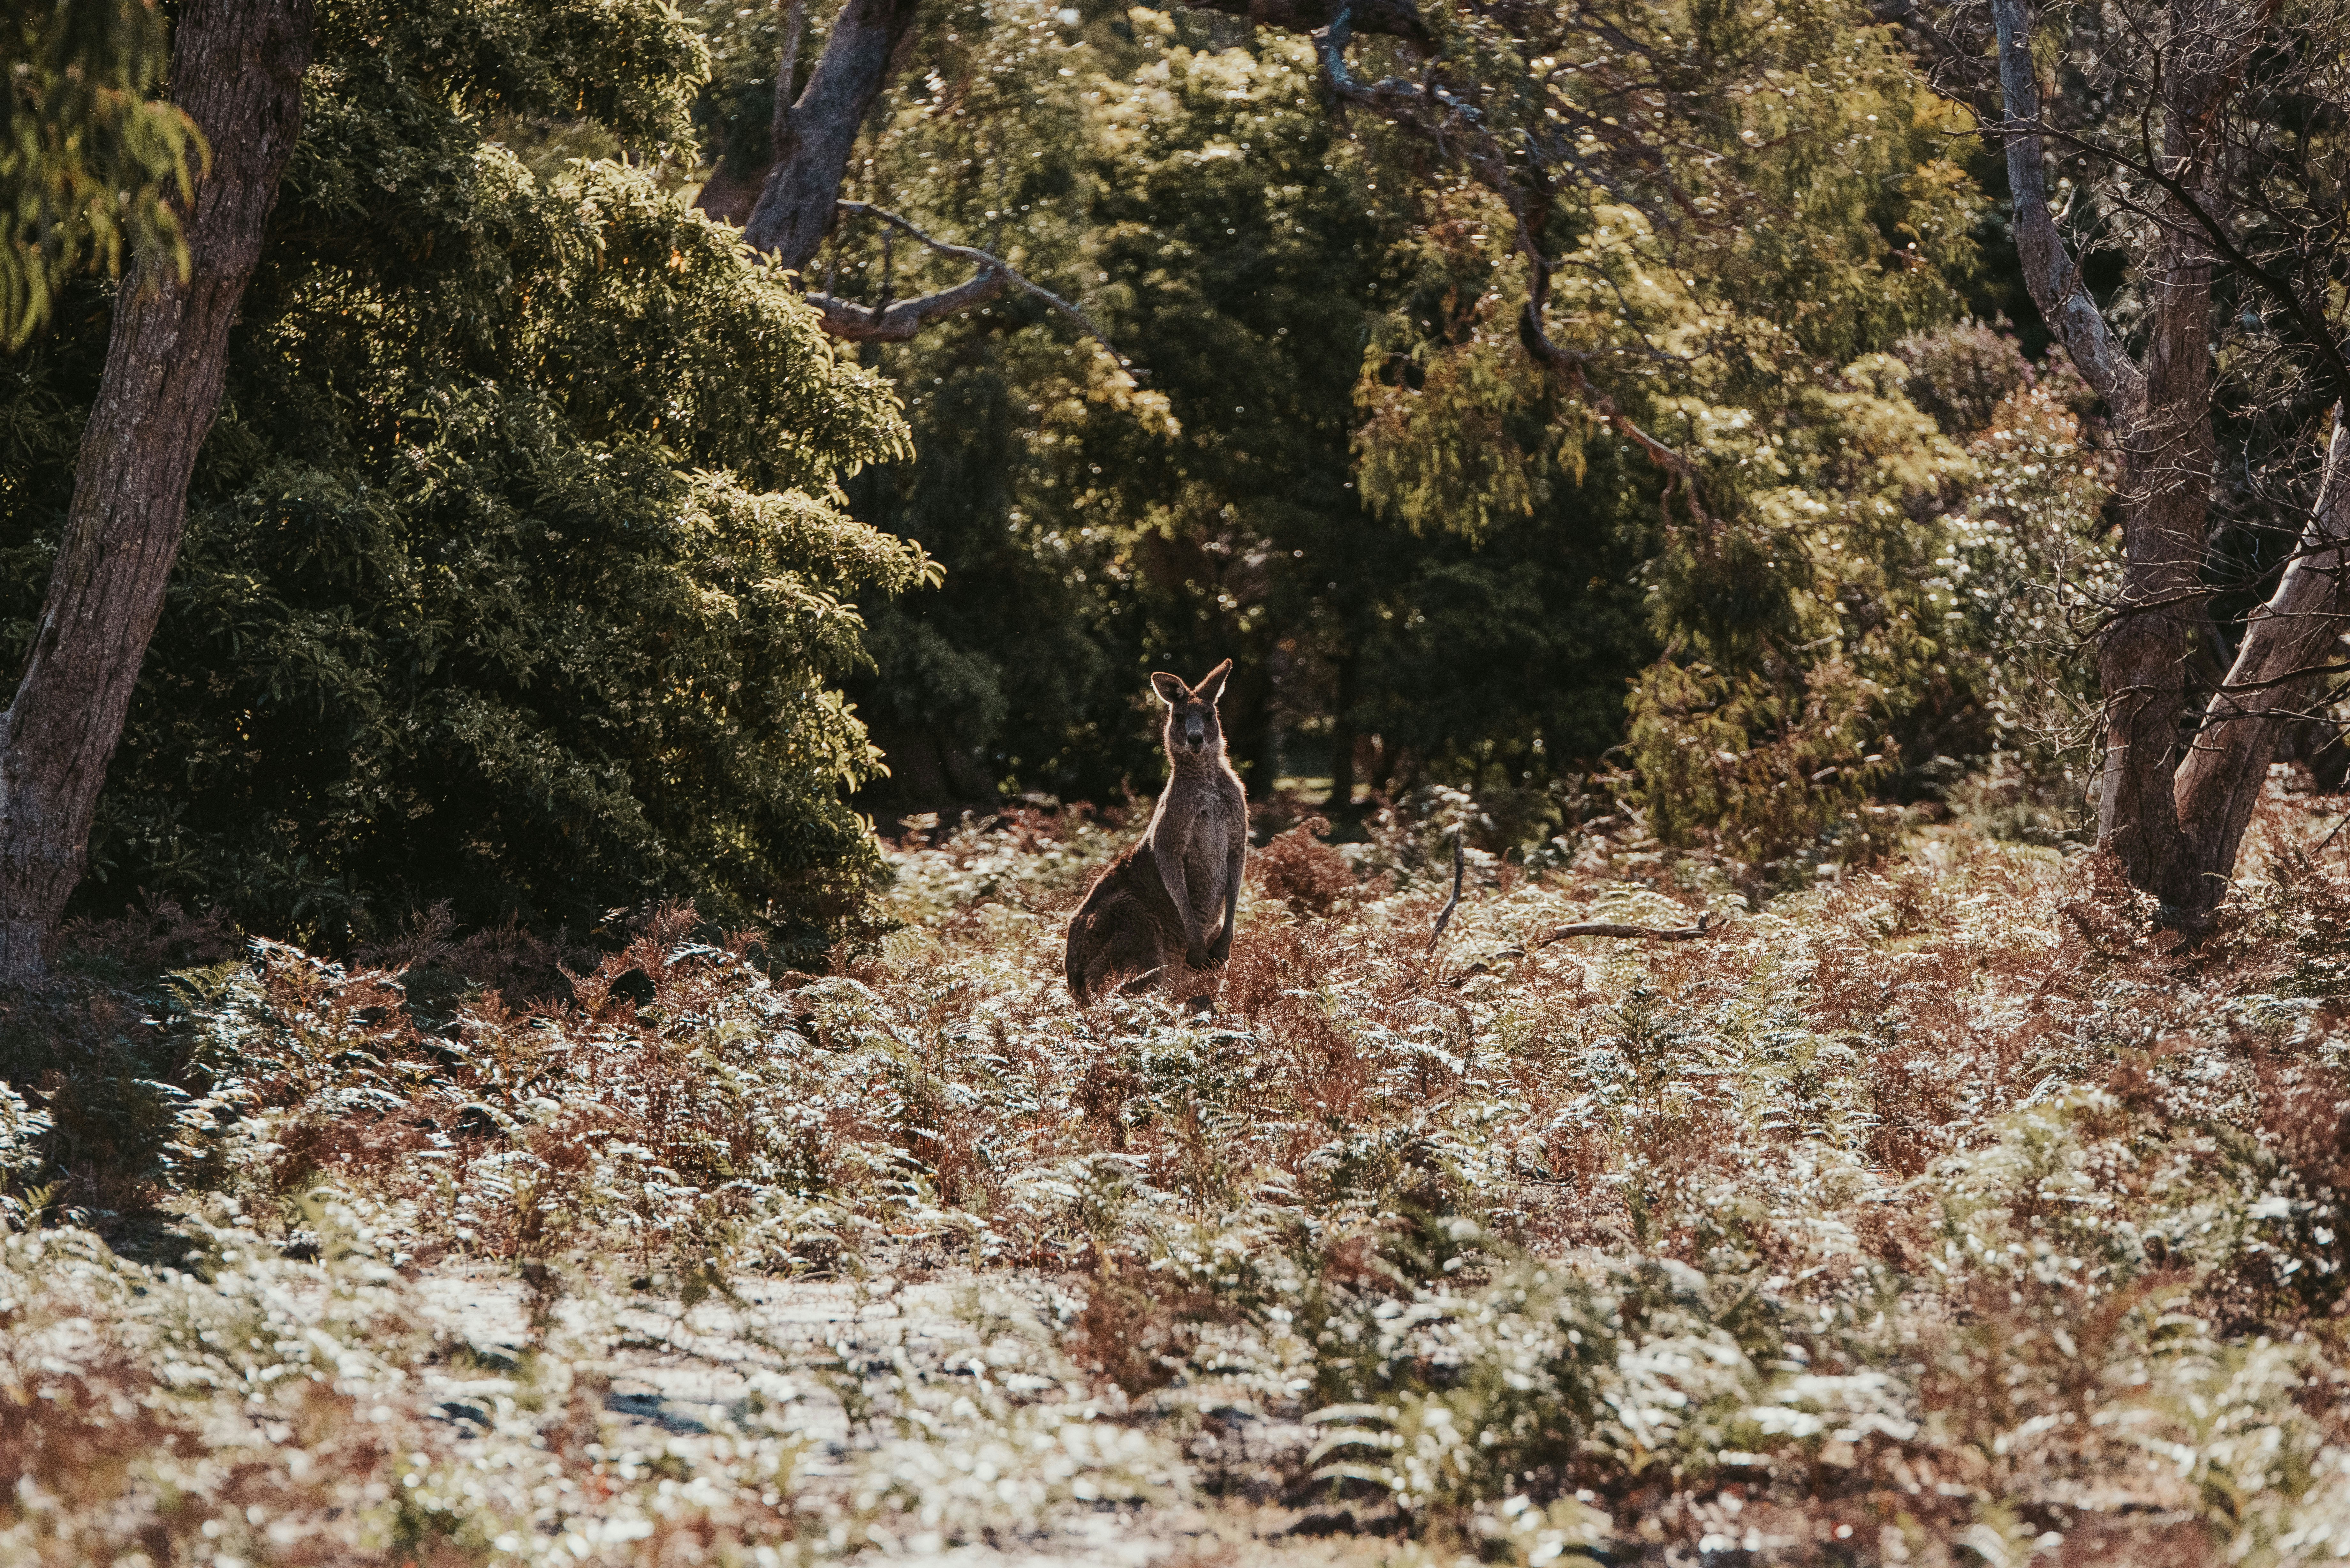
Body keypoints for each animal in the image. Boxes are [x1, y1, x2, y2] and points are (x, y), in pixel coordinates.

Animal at [1065, 659, 1248, 1007]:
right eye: (1179, 717)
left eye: (1209, 715)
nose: (1195, 739)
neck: (1206, 780)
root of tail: (1074, 987)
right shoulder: (1169, 835)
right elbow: (1168, 859)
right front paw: (1196, 946)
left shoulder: (1237, 834)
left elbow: (1236, 866)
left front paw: (1221, 946)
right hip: (1135, 926)